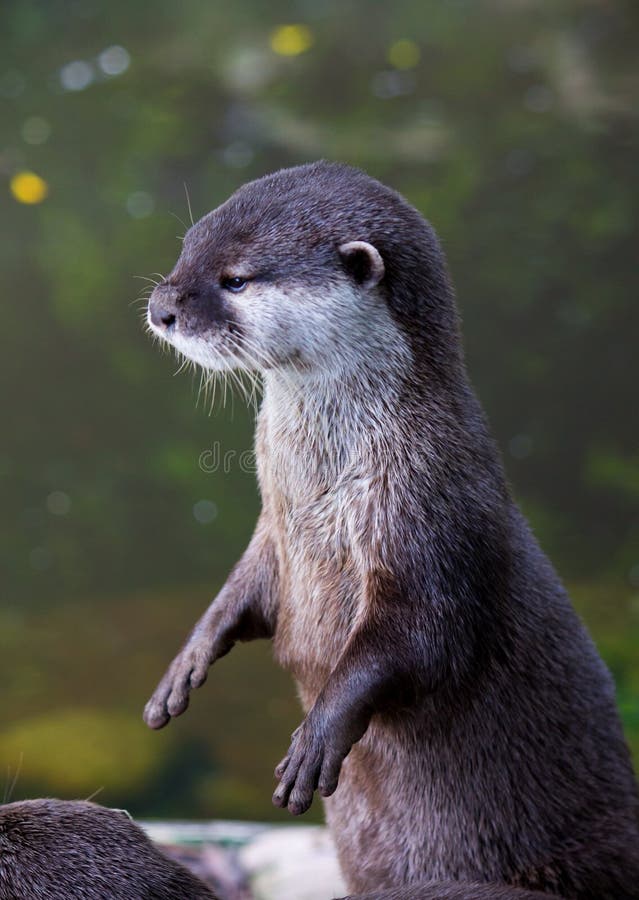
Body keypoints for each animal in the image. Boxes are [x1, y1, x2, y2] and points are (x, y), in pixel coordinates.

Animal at [143, 161, 639, 899]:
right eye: (186, 248)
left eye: (235, 279)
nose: (162, 307)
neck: (329, 483)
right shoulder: (275, 533)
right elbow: (243, 590)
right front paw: (186, 663)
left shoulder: (429, 511)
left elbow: (421, 638)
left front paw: (316, 738)